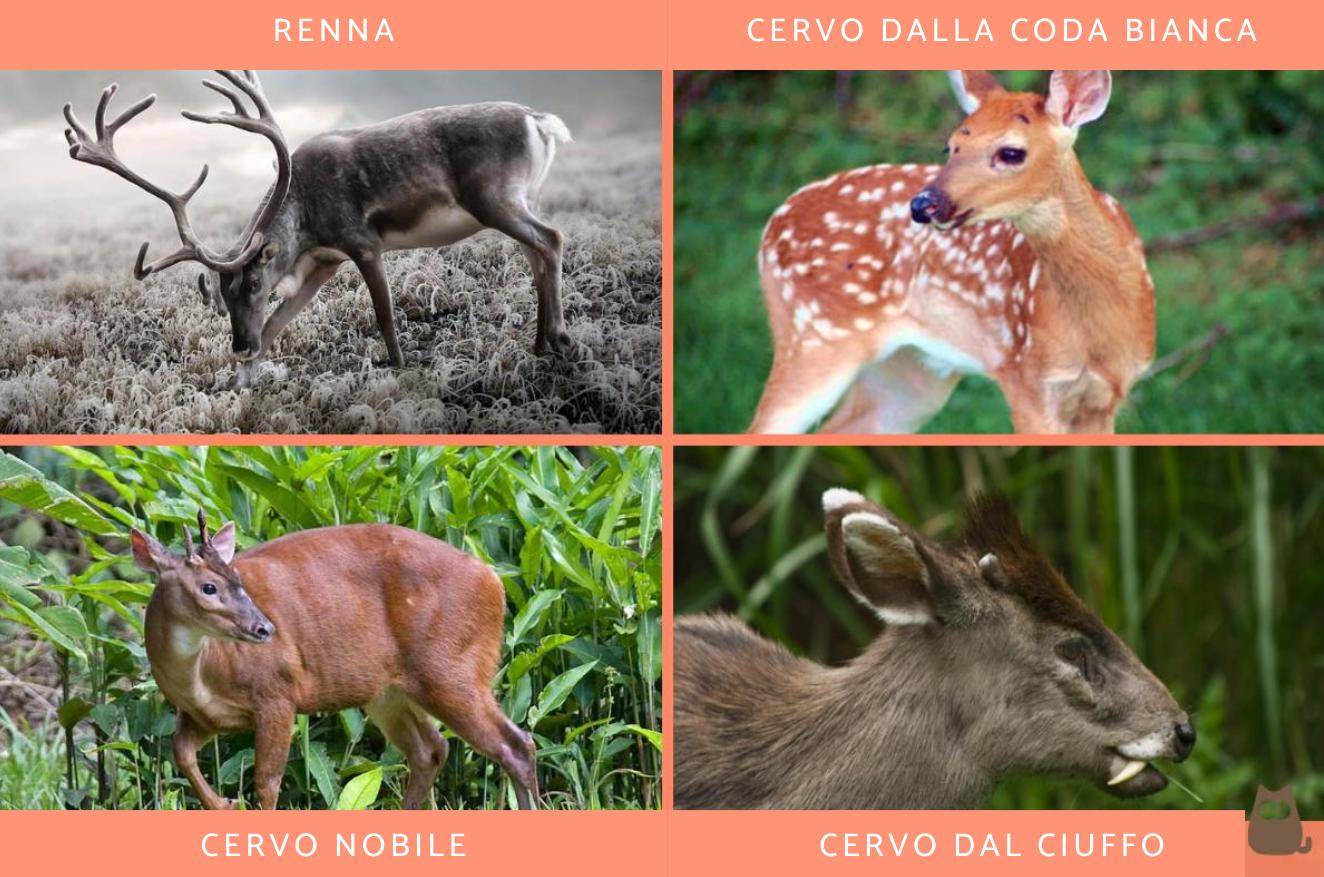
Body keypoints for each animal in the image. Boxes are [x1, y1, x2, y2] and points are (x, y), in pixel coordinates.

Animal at [63, 70, 573, 389]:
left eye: (253, 282)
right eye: (223, 292)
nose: (239, 346)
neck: (305, 222)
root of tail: (539, 121)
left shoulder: (361, 242)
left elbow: (384, 315)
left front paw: (400, 368)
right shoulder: (325, 262)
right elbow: (276, 323)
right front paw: (239, 383)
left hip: (493, 198)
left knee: (551, 239)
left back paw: (561, 338)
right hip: (519, 198)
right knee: (537, 254)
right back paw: (539, 345)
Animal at [129, 510, 538, 810]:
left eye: (238, 580)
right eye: (209, 587)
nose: (265, 628)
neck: (200, 675)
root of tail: (494, 580)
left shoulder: (277, 693)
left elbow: (267, 782)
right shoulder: (202, 716)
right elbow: (181, 753)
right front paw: (223, 804)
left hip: (452, 668)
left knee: (516, 744)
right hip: (388, 692)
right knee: (431, 749)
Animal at [751, 70, 1155, 434]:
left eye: (1011, 152)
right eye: (951, 146)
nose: (922, 204)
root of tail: (773, 223)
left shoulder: (1105, 397)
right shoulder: (1026, 377)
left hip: (909, 374)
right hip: (814, 334)